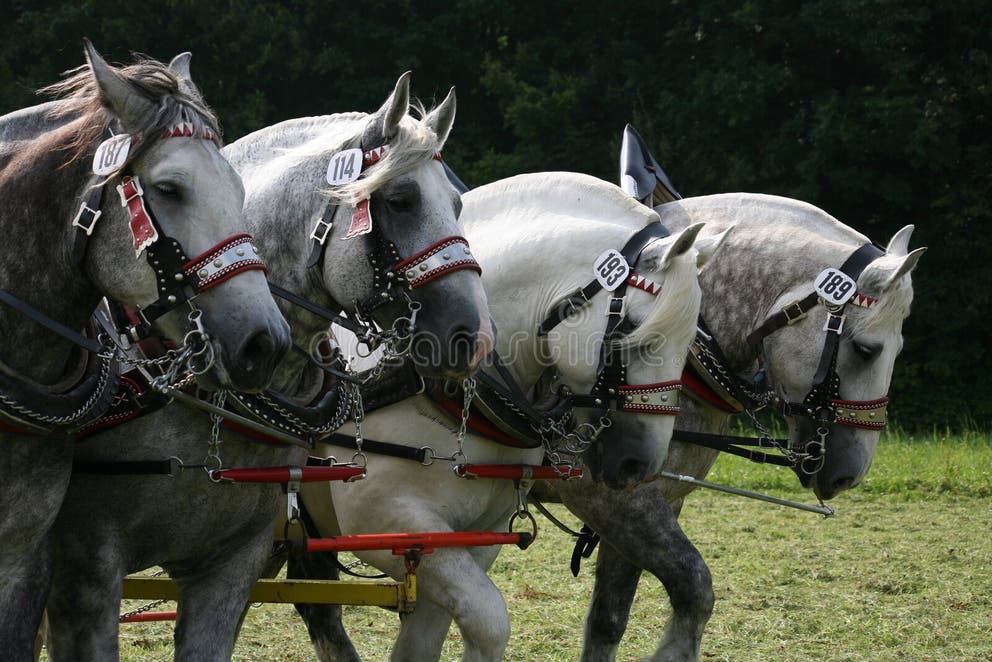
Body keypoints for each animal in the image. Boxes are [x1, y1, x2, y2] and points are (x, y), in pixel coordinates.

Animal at [288, 171, 728, 661]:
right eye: (633, 331)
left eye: (692, 340)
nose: (640, 465)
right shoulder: (382, 522)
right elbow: (490, 620)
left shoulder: (472, 537)